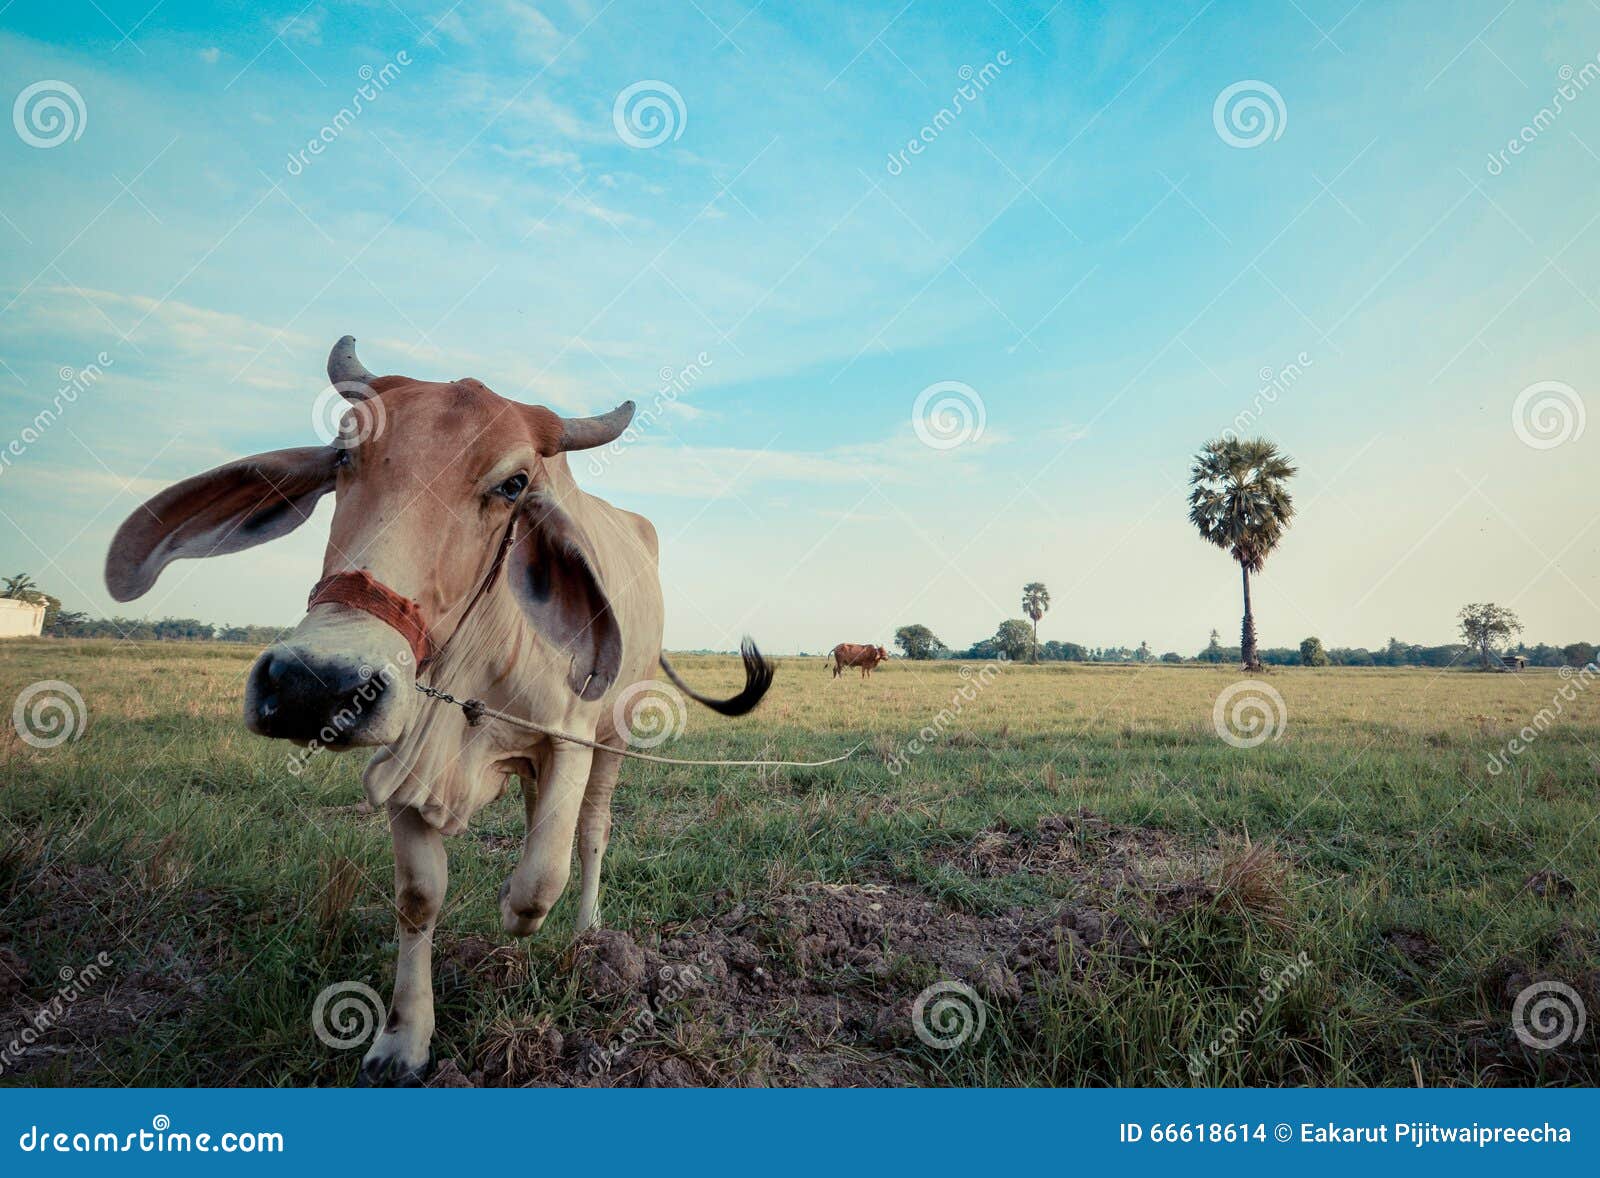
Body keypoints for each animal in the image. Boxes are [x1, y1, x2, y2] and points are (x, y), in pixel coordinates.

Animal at [103, 337, 775, 1085]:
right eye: (343, 455)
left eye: (514, 485)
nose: (315, 684)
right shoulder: (404, 758)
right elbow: (420, 896)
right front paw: (404, 1038)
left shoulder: (570, 739)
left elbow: (540, 879)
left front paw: (519, 915)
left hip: (614, 739)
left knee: (591, 832)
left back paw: (589, 935)